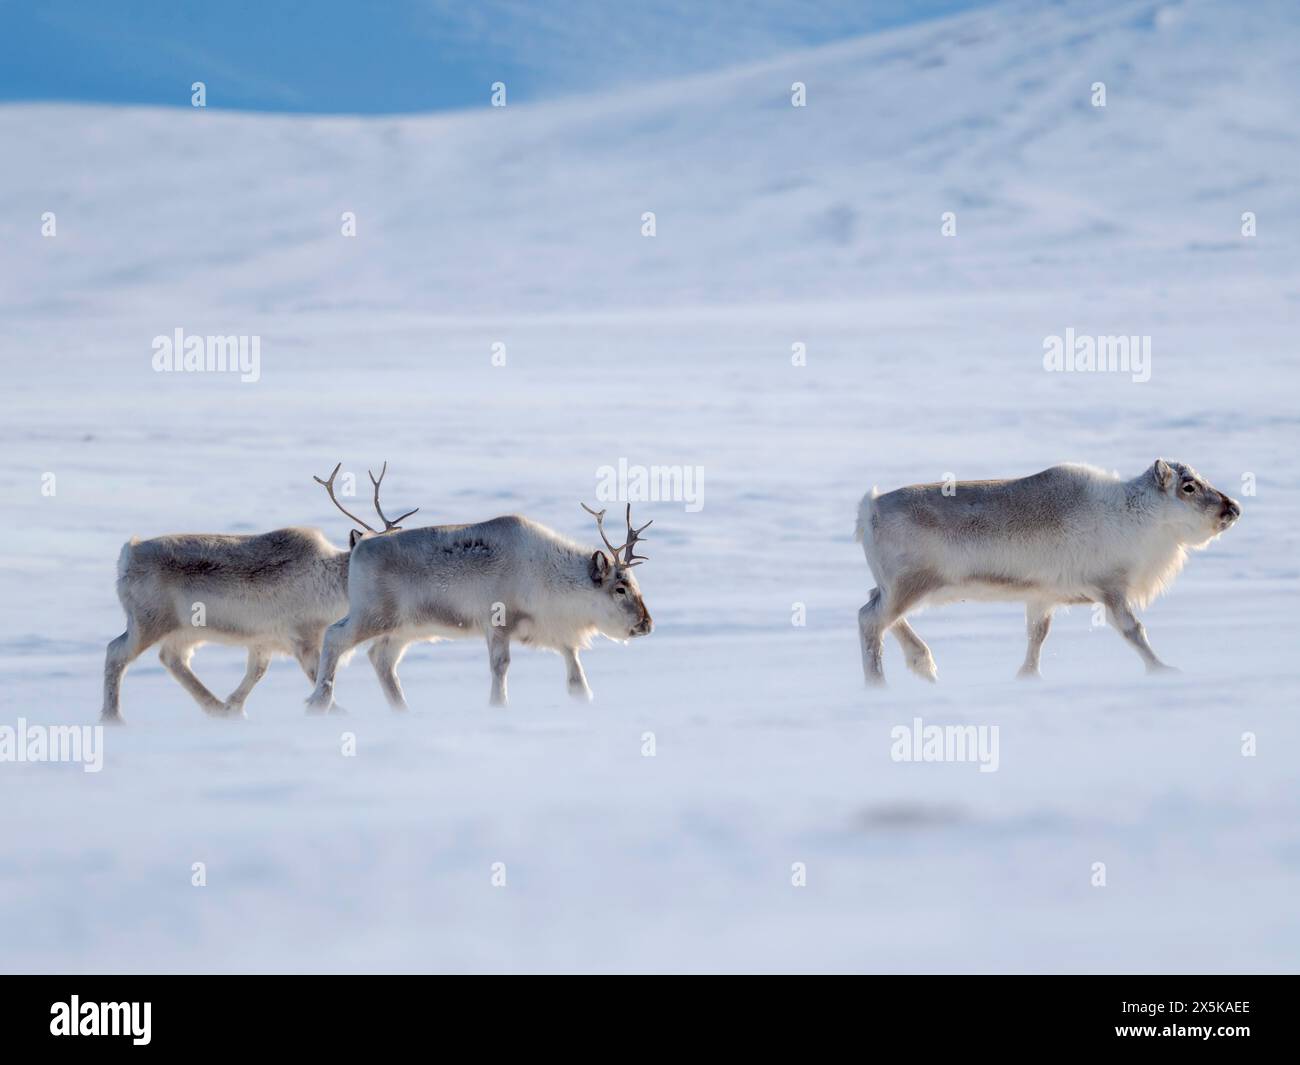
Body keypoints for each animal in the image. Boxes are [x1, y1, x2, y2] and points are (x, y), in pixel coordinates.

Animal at [100, 463, 417, 723]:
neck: (337, 580)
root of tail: (128, 553)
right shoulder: (304, 637)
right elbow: (317, 676)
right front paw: (336, 712)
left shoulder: (264, 640)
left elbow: (256, 673)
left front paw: (234, 707)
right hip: (148, 622)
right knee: (116, 653)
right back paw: (113, 718)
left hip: (185, 630)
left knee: (172, 658)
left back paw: (216, 708)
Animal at [304, 502, 654, 712]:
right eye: (620, 588)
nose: (647, 623)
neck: (548, 573)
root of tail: (359, 546)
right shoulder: (498, 623)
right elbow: (500, 666)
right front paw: (498, 705)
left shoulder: (556, 632)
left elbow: (577, 679)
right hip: (371, 615)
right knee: (334, 637)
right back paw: (319, 701)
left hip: (403, 629)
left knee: (381, 659)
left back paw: (402, 709)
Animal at [854, 459, 1242, 685]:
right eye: (1188, 486)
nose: (1234, 508)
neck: (1138, 515)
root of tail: (869, 508)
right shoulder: (1111, 589)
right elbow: (1134, 631)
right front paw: (1162, 669)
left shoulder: (1041, 596)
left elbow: (1037, 636)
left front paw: (1028, 677)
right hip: (910, 586)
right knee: (871, 619)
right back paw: (879, 684)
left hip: (900, 588)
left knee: (877, 609)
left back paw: (924, 666)